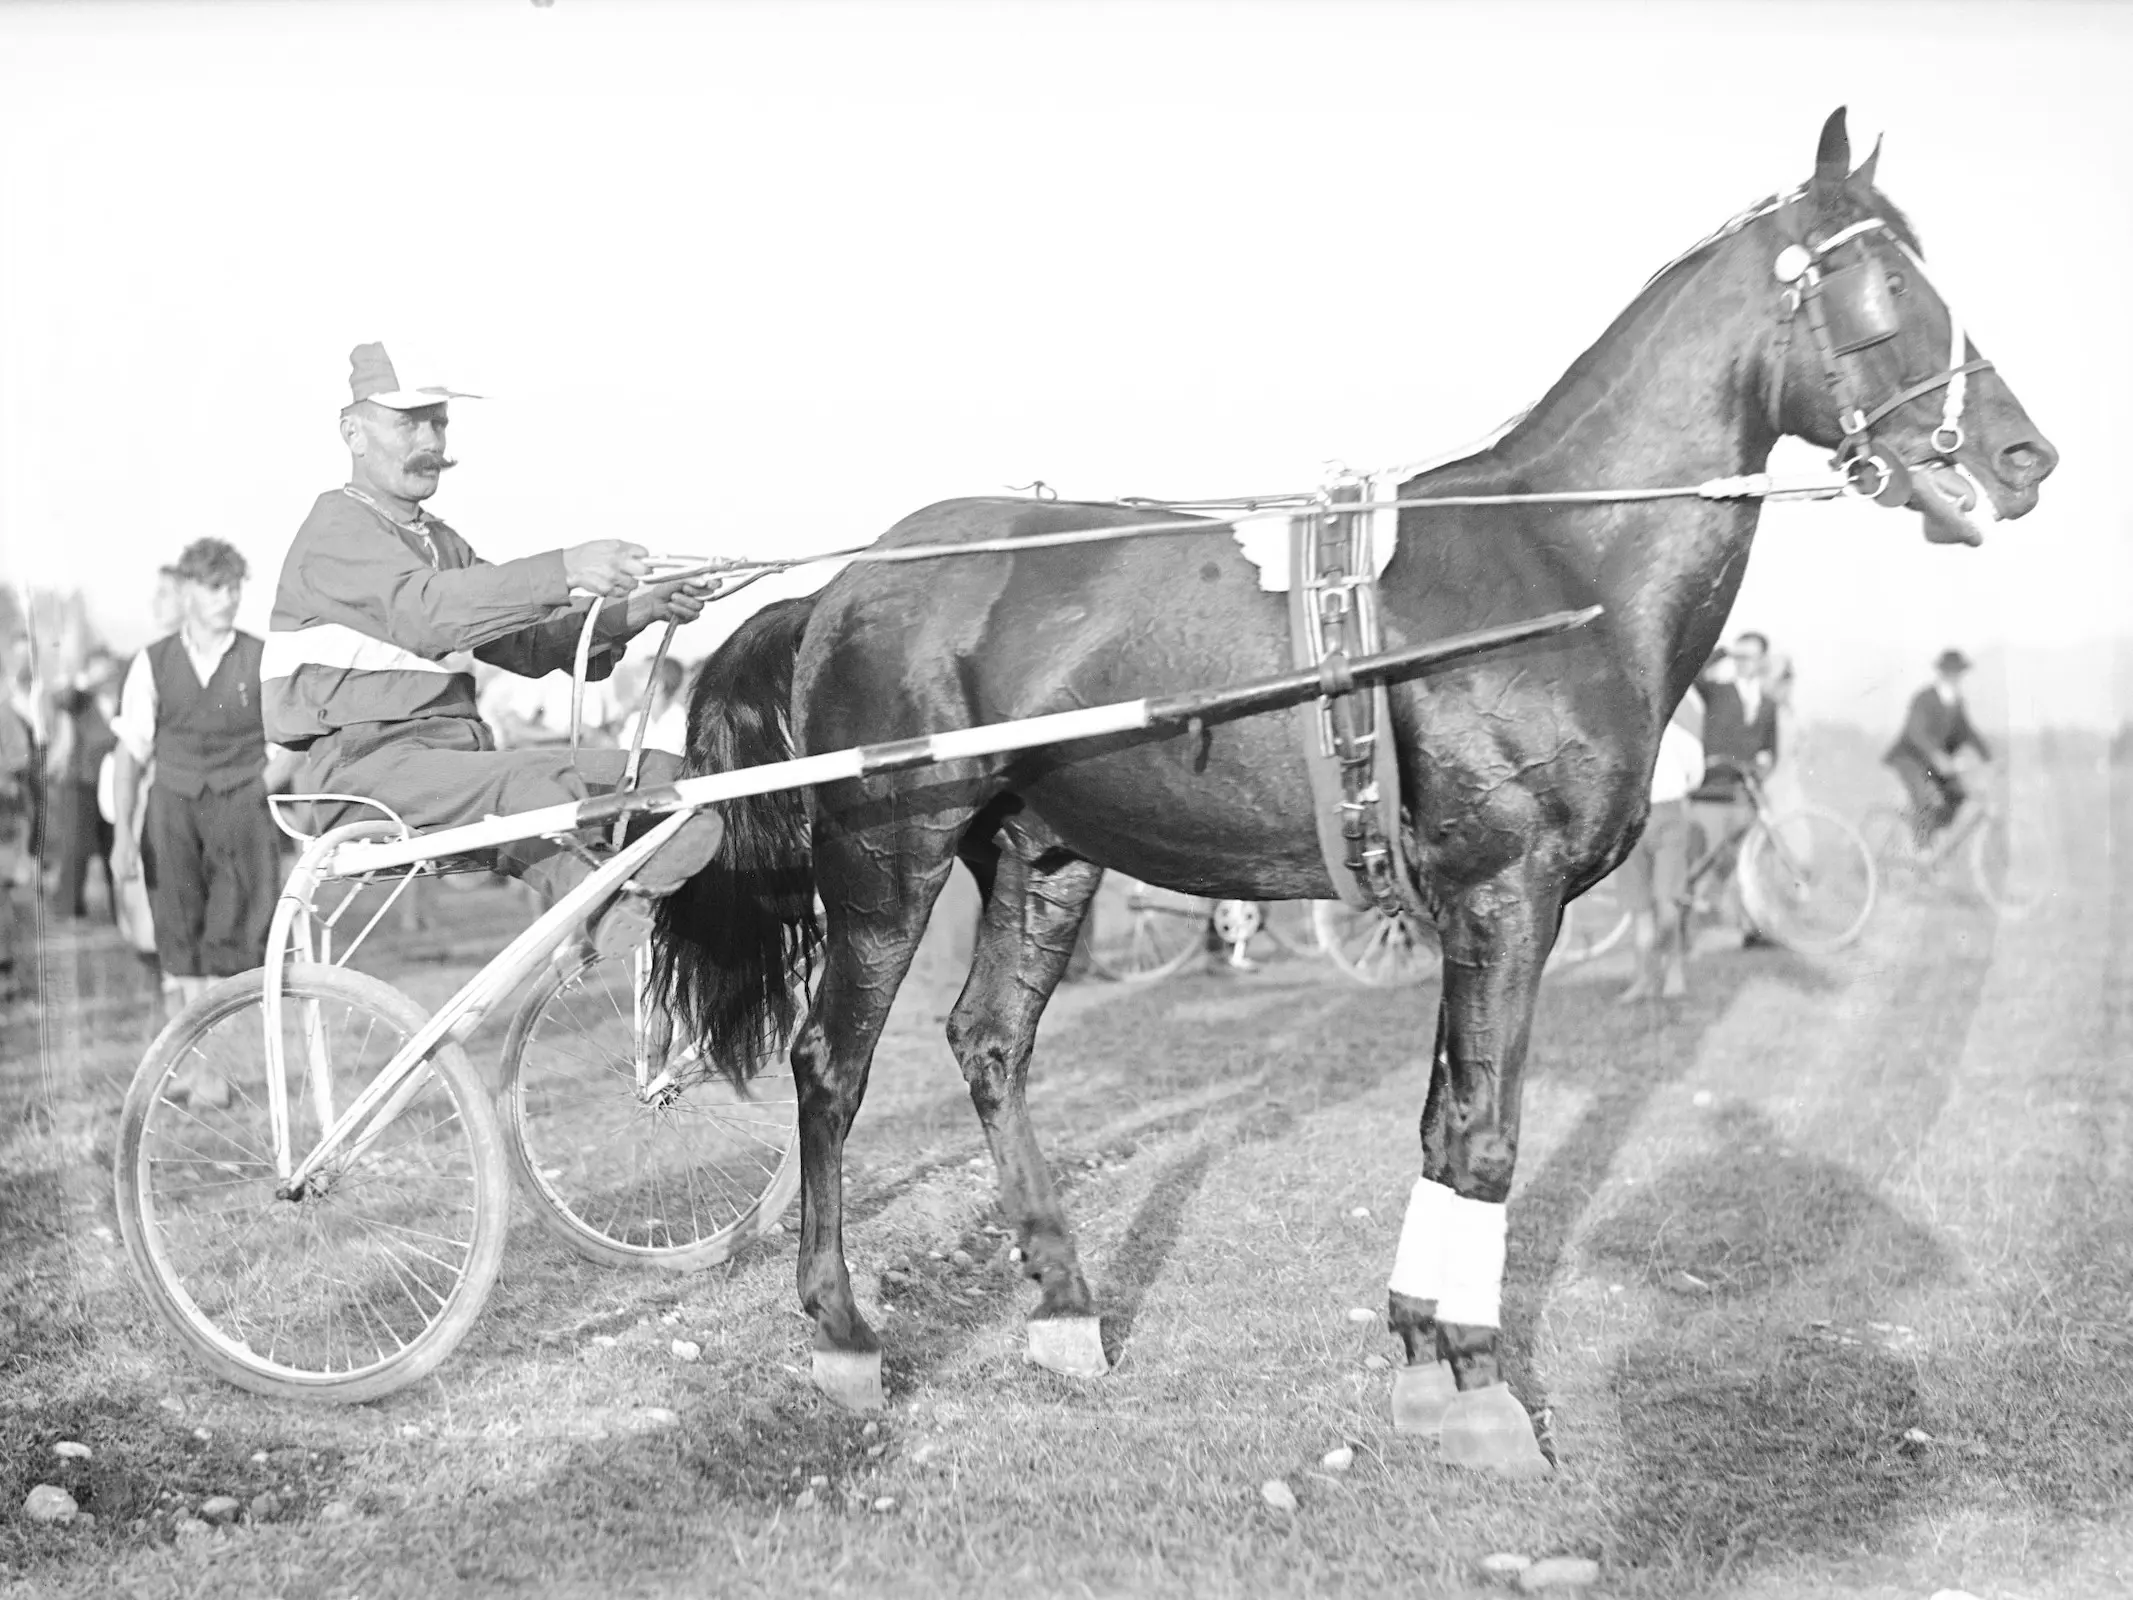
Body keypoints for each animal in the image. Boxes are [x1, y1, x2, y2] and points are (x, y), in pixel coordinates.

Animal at [654, 109, 2054, 1476]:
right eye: (1888, 281)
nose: (2023, 454)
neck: (1553, 564)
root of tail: (842, 581)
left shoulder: (1468, 912)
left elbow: (1441, 1121)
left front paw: (1424, 1356)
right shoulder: (1508, 897)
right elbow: (1487, 1131)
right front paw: (1482, 1386)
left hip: (1043, 856)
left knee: (990, 1044)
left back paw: (1061, 1300)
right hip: (887, 859)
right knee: (831, 1064)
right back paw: (842, 1327)